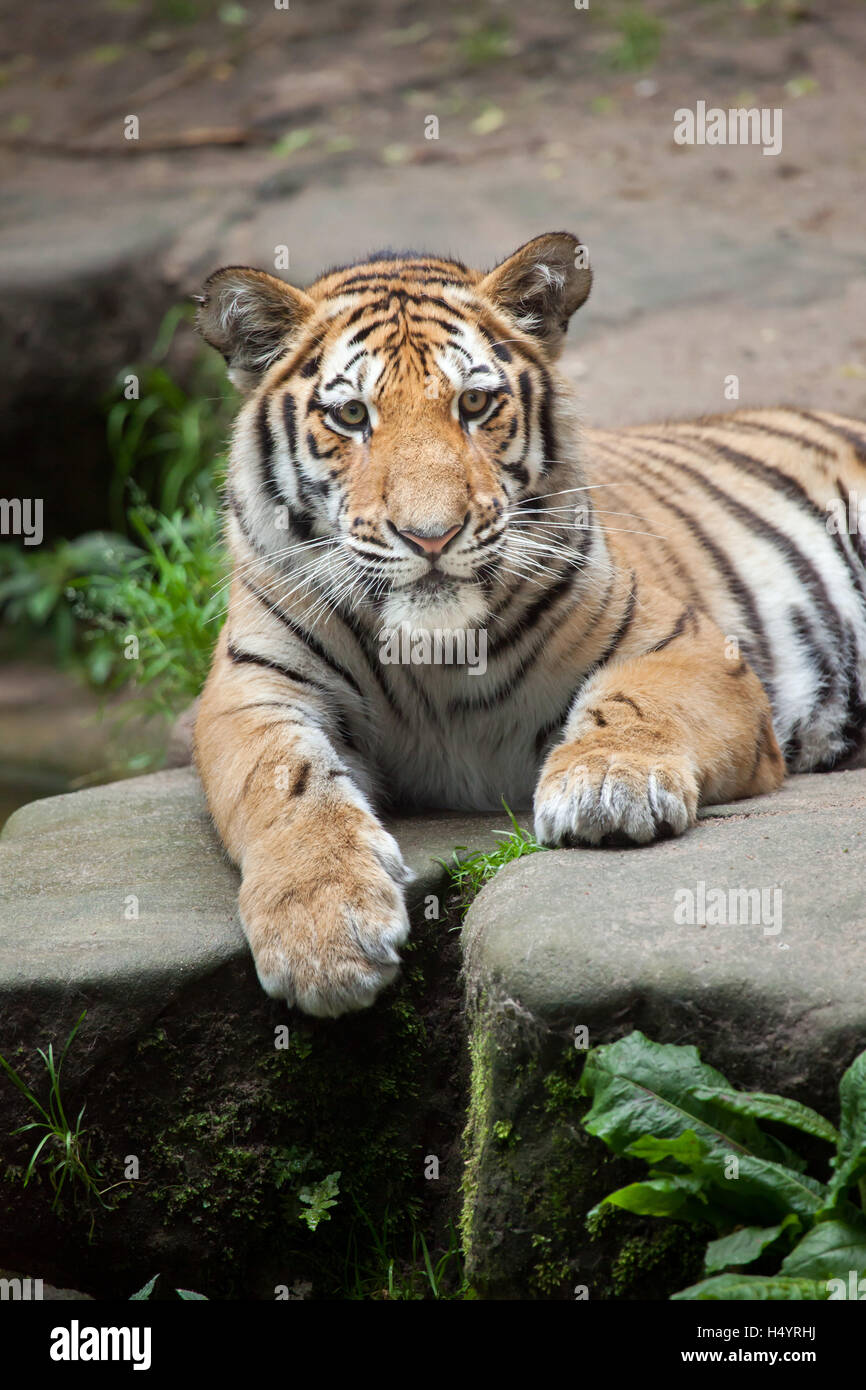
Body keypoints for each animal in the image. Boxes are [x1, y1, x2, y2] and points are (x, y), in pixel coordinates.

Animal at [192, 232, 866, 1018]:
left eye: (476, 403)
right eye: (352, 416)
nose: (430, 536)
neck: (435, 653)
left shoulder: (690, 644)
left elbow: (637, 703)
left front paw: (609, 784)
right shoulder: (251, 686)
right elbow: (283, 781)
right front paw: (322, 929)